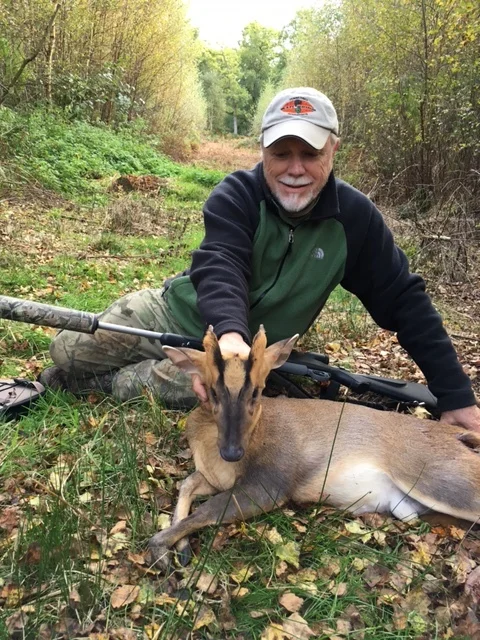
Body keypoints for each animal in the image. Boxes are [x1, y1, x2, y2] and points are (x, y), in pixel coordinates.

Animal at [148, 326, 480, 568]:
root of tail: (460, 436)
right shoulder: (214, 477)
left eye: (257, 392)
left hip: (443, 479)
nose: (231, 452)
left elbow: (208, 510)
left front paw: (161, 547)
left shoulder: (272, 481)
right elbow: (186, 484)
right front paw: (180, 550)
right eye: (213, 392)